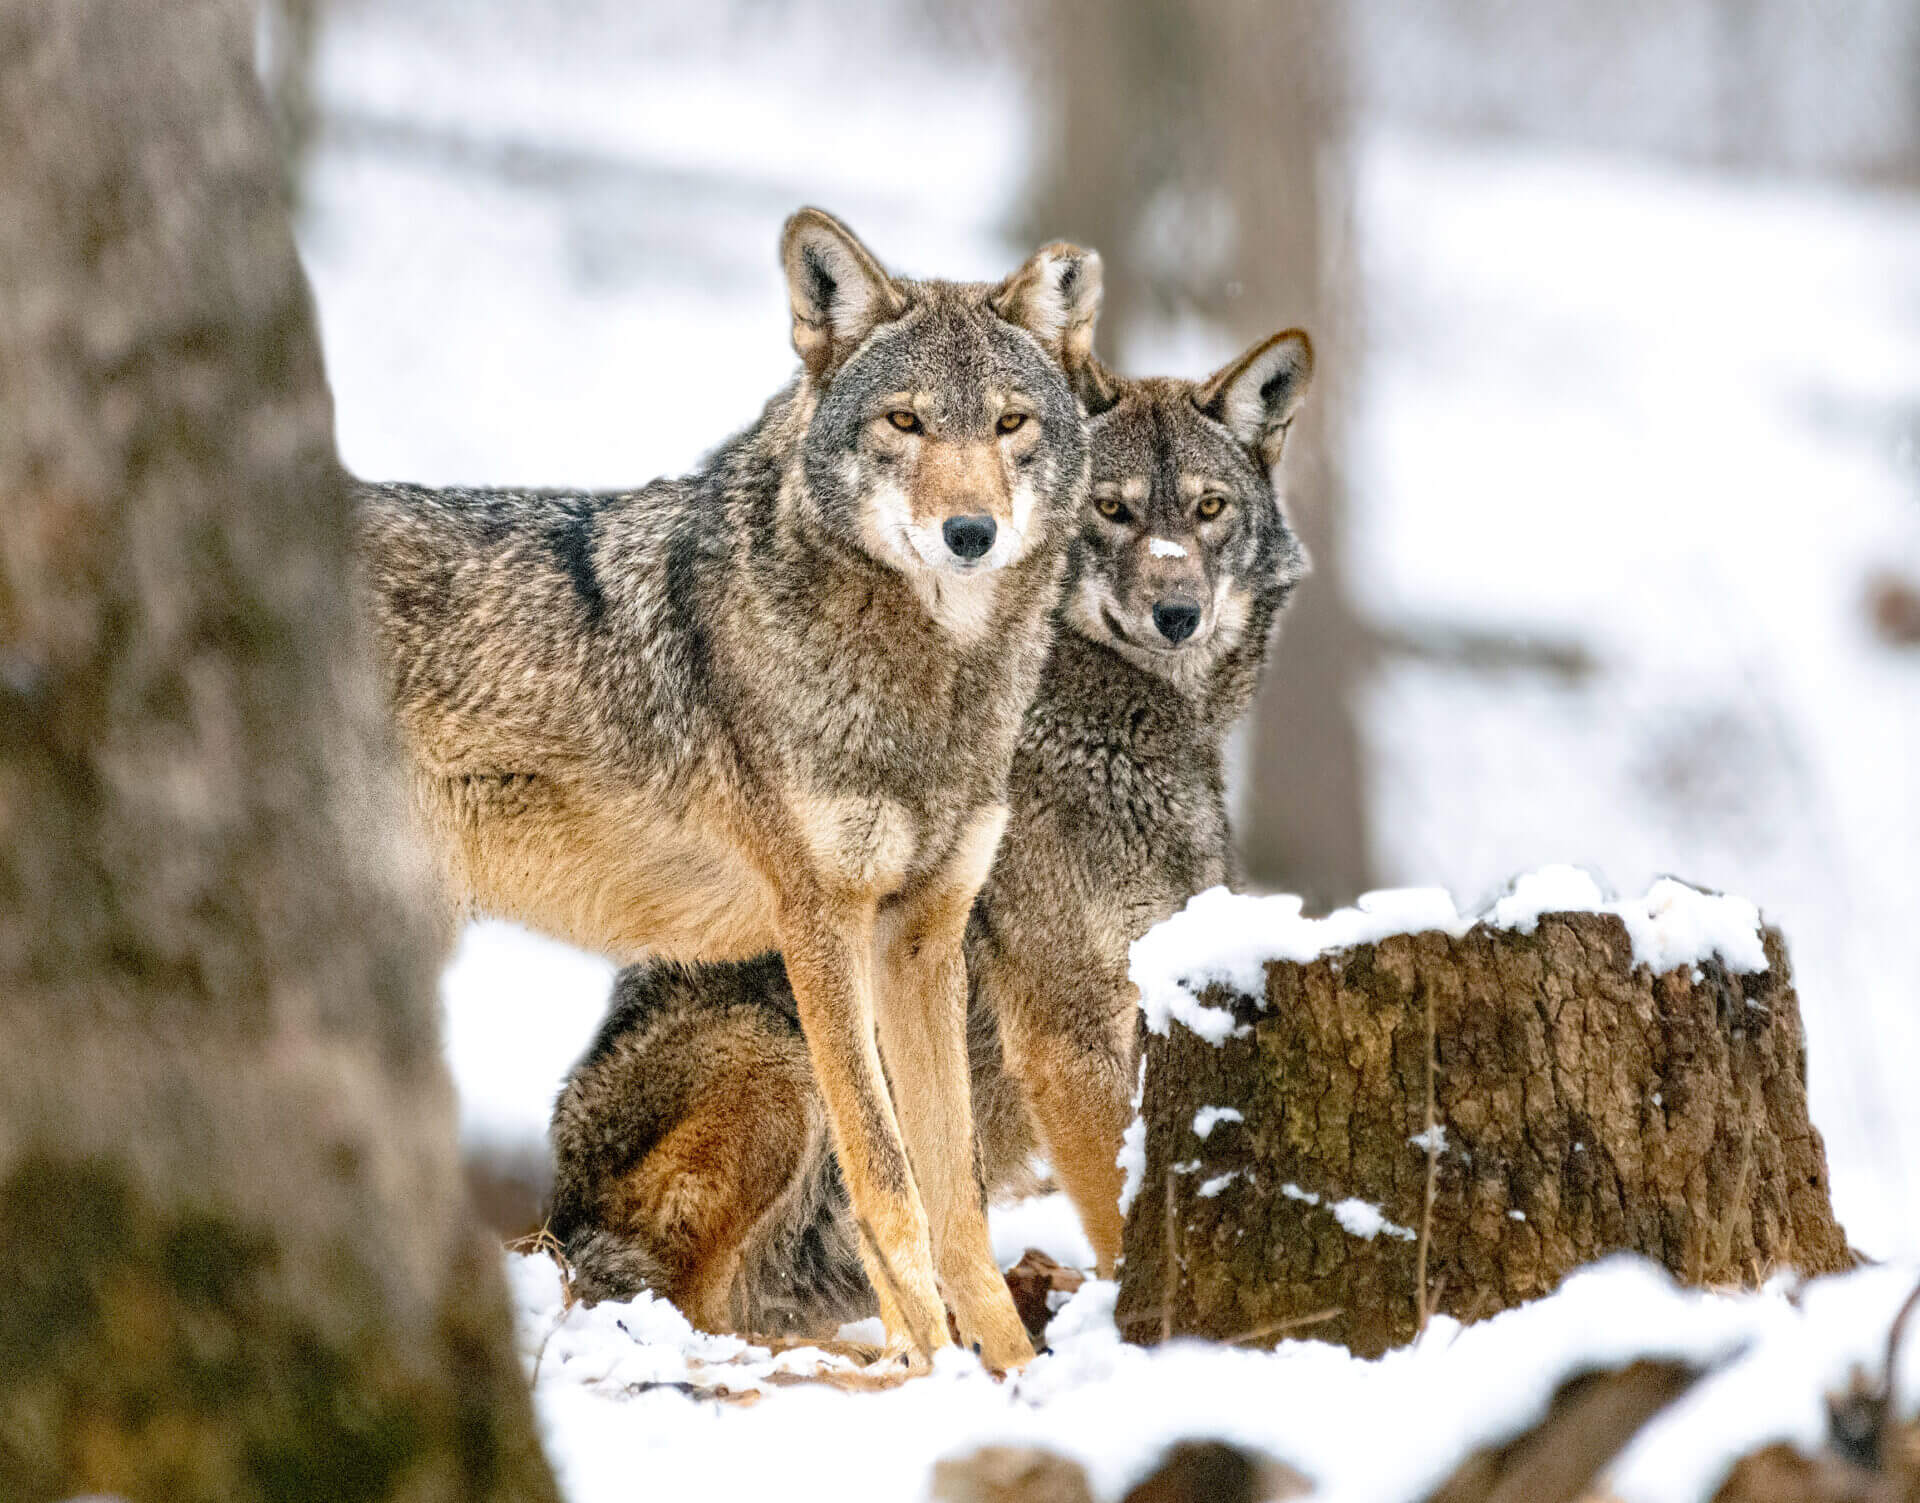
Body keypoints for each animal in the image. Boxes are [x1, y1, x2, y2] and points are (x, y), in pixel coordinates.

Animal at [356, 209, 1105, 1372]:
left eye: (1011, 423)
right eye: (905, 421)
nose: (970, 533)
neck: (929, 690)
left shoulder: (921, 934)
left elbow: (959, 1208)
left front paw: (1009, 1376)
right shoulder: (820, 922)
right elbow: (890, 1190)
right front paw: (934, 1371)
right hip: (764, 1056)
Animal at [547, 327, 1314, 1334]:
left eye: (1209, 508)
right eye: (1108, 510)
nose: (1177, 615)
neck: (1113, 723)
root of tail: (558, 1211)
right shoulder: (1065, 1030)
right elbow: (1122, 1222)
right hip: (786, 1061)